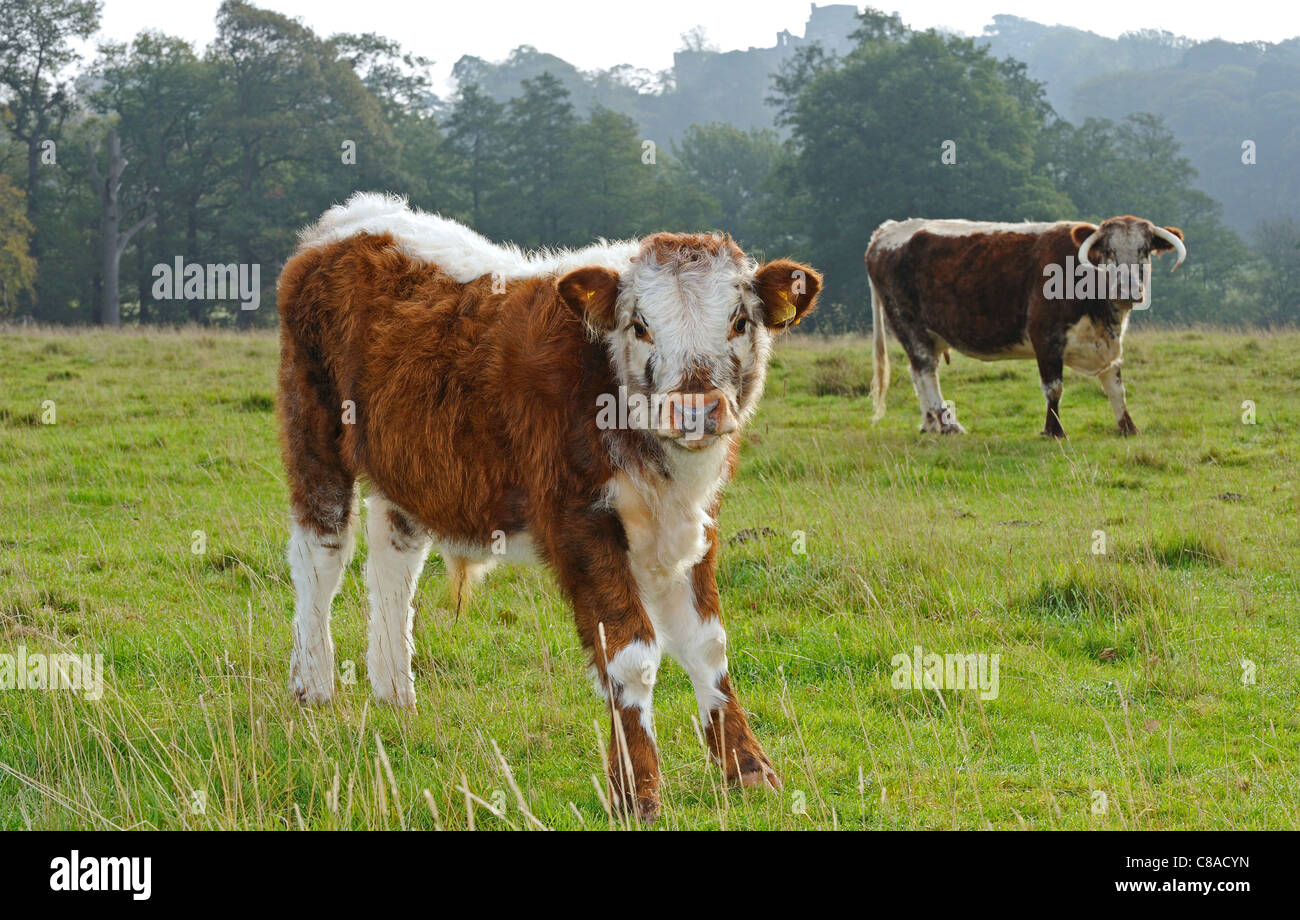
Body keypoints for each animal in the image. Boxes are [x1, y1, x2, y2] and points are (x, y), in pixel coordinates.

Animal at [276, 192, 821, 822]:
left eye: (739, 321)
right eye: (640, 324)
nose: (695, 410)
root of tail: (354, 216)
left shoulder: (694, 521)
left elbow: (709, 644)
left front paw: (749, 770)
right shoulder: (580, 523)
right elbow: (631, 654)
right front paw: (637, 790)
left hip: (409, 465)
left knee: (393, 564)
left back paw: (395, 694)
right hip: (313, 425)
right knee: (320, 556)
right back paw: (313, 686)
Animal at [865, 216, 1186, 437]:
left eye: (1144, 250)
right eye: (1107, 251)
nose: (1127, 290)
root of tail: (885, 232)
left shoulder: (1107, 343)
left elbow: (1116, 387)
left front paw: (1128, 427)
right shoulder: (1045, 337)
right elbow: (1054, 388)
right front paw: (1053, 431)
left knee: (918, 373)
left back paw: (930, 424)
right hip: (908, 323)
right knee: (925, 371)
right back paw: (948, 425)